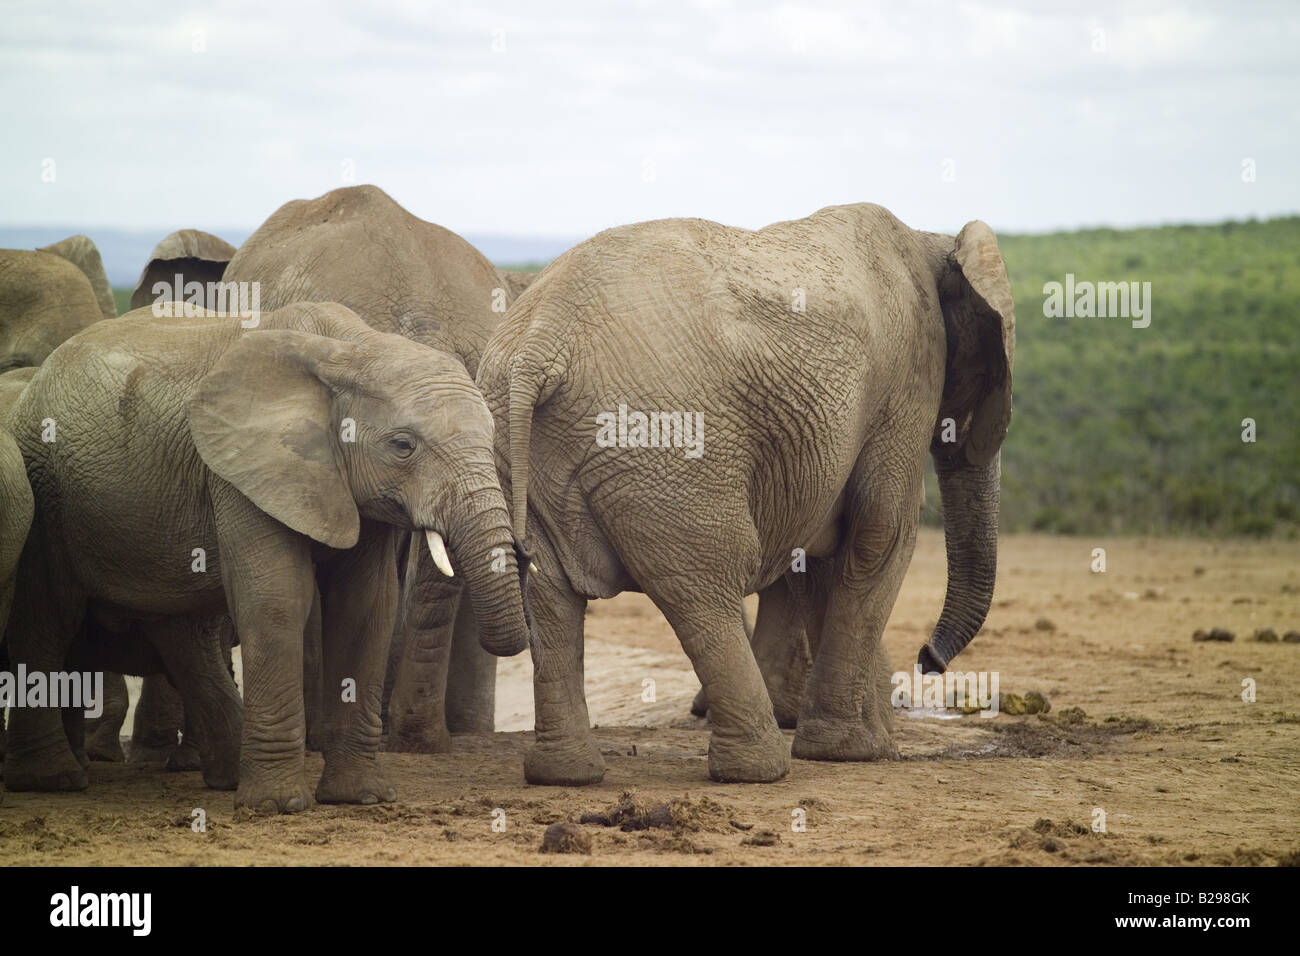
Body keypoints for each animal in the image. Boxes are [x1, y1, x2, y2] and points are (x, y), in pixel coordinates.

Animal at [1, 300, 532, 811]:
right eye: (403, 445)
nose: (526, 552)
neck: (350, 349)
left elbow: (366, 607)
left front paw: (360, 798)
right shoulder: (237, 471)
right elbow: (276, 599)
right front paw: (278, 806)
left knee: (183, 636)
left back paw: (221, 777)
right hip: (45, 491)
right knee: (47, 619)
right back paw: (55, 781)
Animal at [478, 203, 1015, 785]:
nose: (927, 660)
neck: (932, 239)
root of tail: (539, 343)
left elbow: (820, 552)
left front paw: (862, 745)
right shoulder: (909, 373)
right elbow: (881, 534)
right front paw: (853, 751)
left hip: (514, 435)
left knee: (550, 592)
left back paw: (566, 774)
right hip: (663, 443)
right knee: (706, 582)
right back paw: (760, 770)